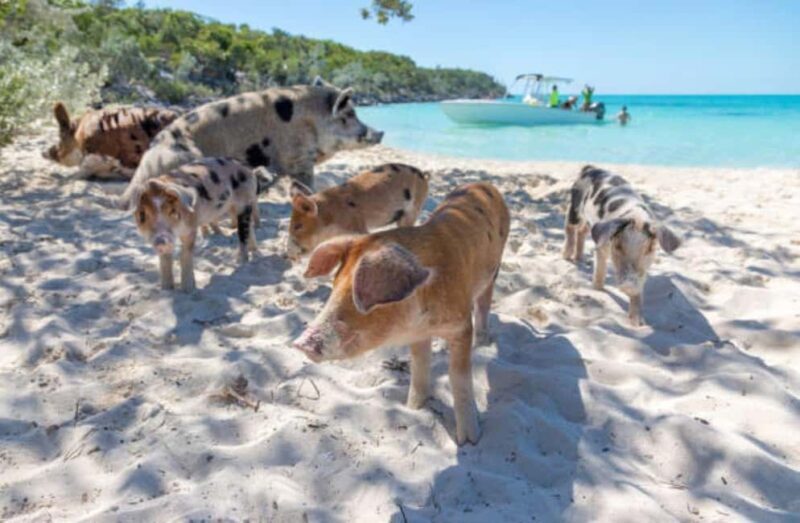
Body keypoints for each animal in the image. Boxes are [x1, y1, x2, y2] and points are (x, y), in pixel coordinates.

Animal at [134, 157, 264, 291]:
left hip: (245, 201)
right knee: (249, 228)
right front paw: (166, 290)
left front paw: (188, 290)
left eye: (173, 211)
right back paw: (254, 251)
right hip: (235, 206)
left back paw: (241, 262)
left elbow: (185, 255)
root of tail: (246, 166)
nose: (161, 241)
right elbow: (165, 260)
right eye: (142, 215)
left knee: (243, 233)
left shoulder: (191, 227)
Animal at [293, 182, 510, 445]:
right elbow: (419, 368)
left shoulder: (461, 326)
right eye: (334, 286)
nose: (301, 343)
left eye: (359, 295)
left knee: (484, 305)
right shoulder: (418, 335)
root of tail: (485, 185)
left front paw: (469, 441)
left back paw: (482, 343)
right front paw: (413, 408)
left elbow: (459, 379)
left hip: (494, 270)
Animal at [563, 165, 681, 326]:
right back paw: (567, 256)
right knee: (569, 226)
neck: (636, 216)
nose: (628, 284)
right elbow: (600, 269)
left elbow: (639, 291)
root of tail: (590, 168)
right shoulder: (602, 244)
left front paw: (638, 324)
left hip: (589, 222)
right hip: (575, 205)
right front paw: (597, 289)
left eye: (649, 249)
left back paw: (578, 258)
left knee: (582, 231)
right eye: (618, 246)